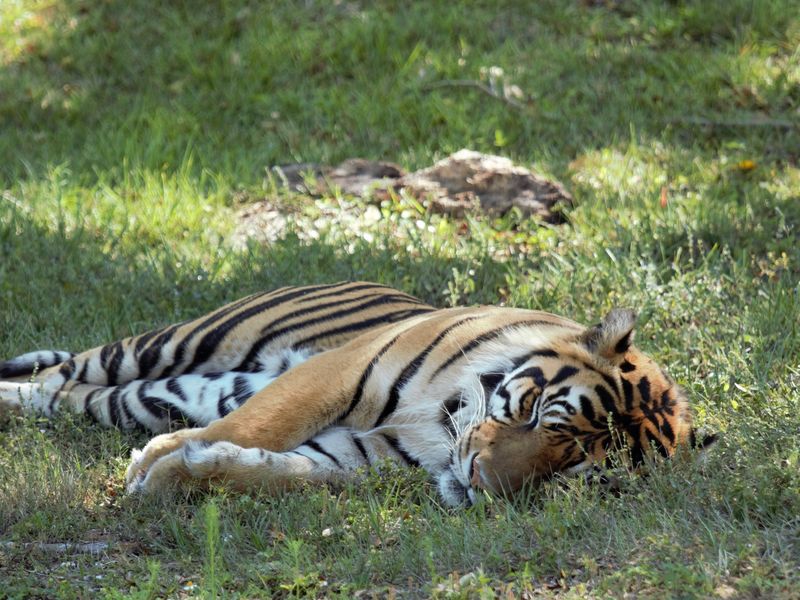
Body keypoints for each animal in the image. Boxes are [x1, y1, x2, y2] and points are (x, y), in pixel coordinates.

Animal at [0, 281, 714, 506]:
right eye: (537, 412)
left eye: (571, 471)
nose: (480, 482)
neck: (441, 428)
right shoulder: (339, 371)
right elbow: (259, 425)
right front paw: (159, 464)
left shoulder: (354, 457)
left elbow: (279, 471)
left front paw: (181, 471)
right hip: (172, 345)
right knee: (57, 374)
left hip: (148, 394)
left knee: (56, 396)